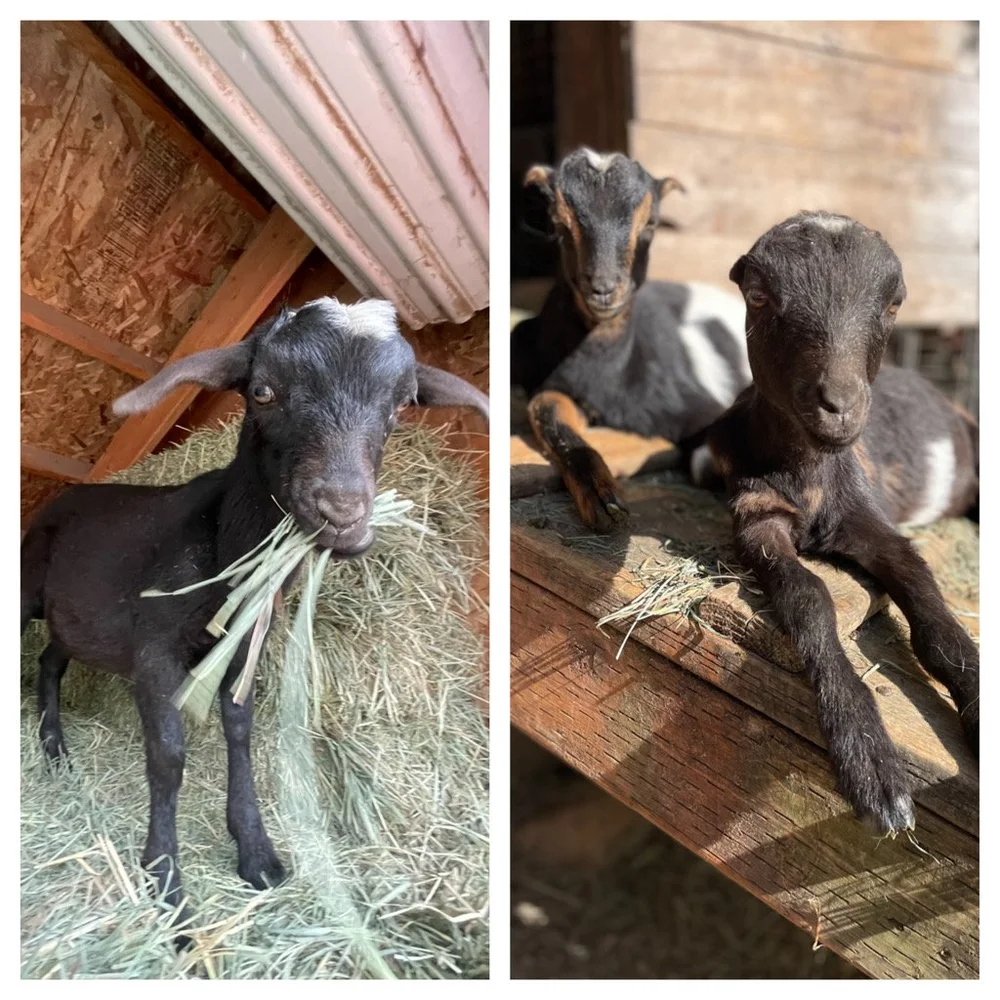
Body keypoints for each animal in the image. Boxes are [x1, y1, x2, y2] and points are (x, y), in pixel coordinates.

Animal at [20, 298, 489, 923]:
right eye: (263, 391)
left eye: (400, 404)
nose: (343, 514)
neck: (226, 547)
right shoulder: (154, 648)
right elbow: (168, 756)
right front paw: (166, 886)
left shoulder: (245, 646)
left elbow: (240, 730)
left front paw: (256, 851)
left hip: (75, 617)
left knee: (51, 659)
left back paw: (54, 748)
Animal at [705, 212, 978, 834]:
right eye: (758, 295)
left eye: (895, 304)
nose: (840, 403)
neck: (809, 476)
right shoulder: (756, 518)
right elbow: (808, 596)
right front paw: (869, 759)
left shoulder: (870, 519)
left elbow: (930, 606)